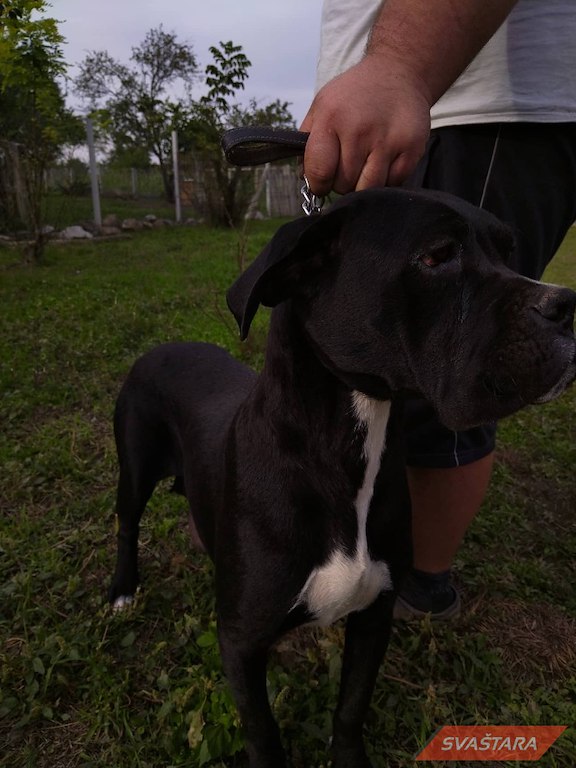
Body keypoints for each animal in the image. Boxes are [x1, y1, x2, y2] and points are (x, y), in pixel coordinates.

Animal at [109, 189, 576, 768]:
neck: (347, 446)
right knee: (126, 524)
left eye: (510, 251)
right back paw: (122, 590)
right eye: (437, 256)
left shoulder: (375, 616)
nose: (565, 305)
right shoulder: (240, 642)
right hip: (134, 469)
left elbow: (351, 705)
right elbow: (263, 732)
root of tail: (162, 347)